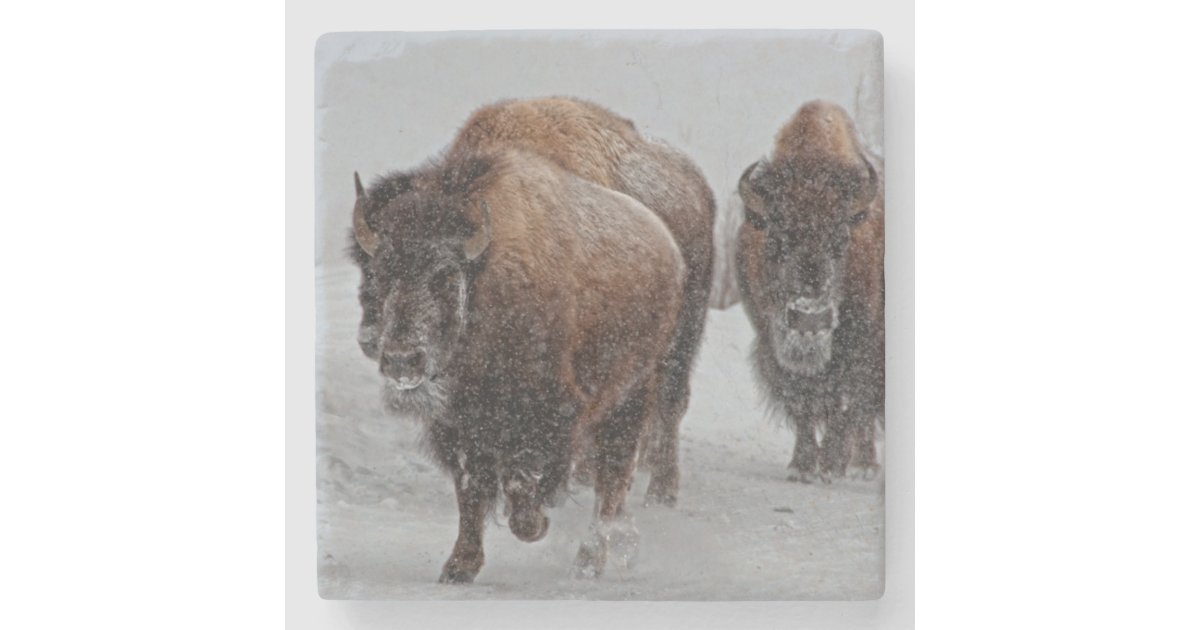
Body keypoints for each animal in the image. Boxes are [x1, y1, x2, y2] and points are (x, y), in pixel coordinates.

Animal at [735, 100, 884, 482]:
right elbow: (800, 400)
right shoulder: (771, 342)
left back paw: (863, 464)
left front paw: (829, 465)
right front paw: (802, 466)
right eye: (775, 239)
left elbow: (843, 402)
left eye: (842, 239)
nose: (809, 319)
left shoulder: (859, 343)